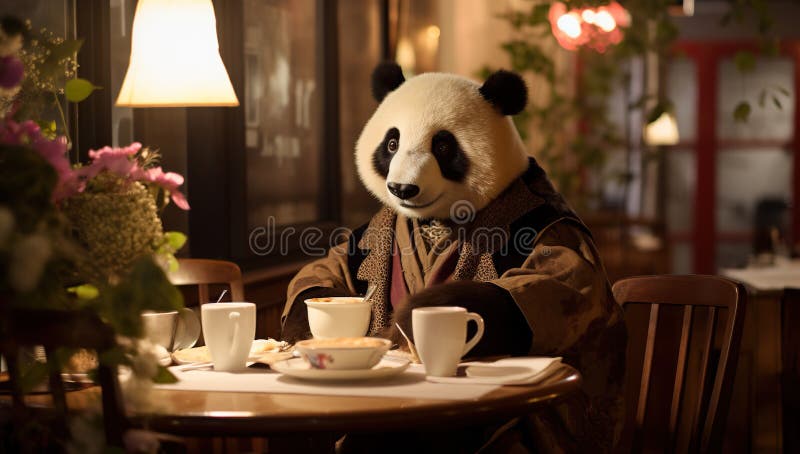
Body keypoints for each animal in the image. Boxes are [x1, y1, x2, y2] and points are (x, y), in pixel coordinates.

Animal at [282, 62, 626, 452]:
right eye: (392, 142)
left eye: (443, 146)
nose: (403, 188)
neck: (437, 220)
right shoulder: (363, 238)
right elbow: (322, 270)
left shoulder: (548, 229)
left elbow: (550, 283)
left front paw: (402, 323)